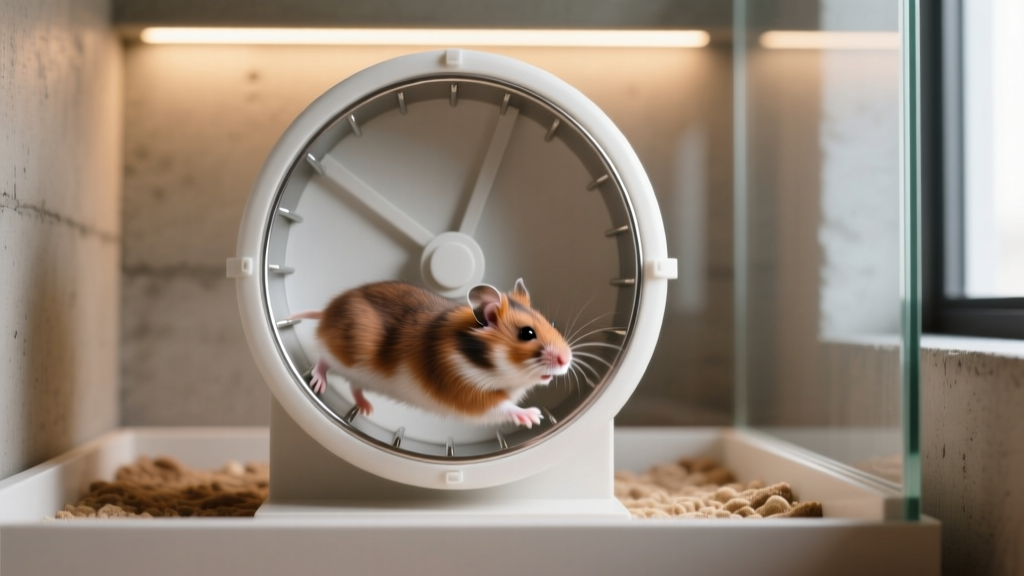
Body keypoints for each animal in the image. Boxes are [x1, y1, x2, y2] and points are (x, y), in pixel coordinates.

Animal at [289, 279, 572, 428]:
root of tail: (328, 313)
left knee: (353, 386)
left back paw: (368, 409)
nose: (567, 361)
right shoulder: (463, 391)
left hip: (361, 372)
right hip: (344, 353)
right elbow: (501, 407)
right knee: (322, 359)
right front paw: (534, 417)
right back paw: (318, 383)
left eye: (552, 324)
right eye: (527, 333)